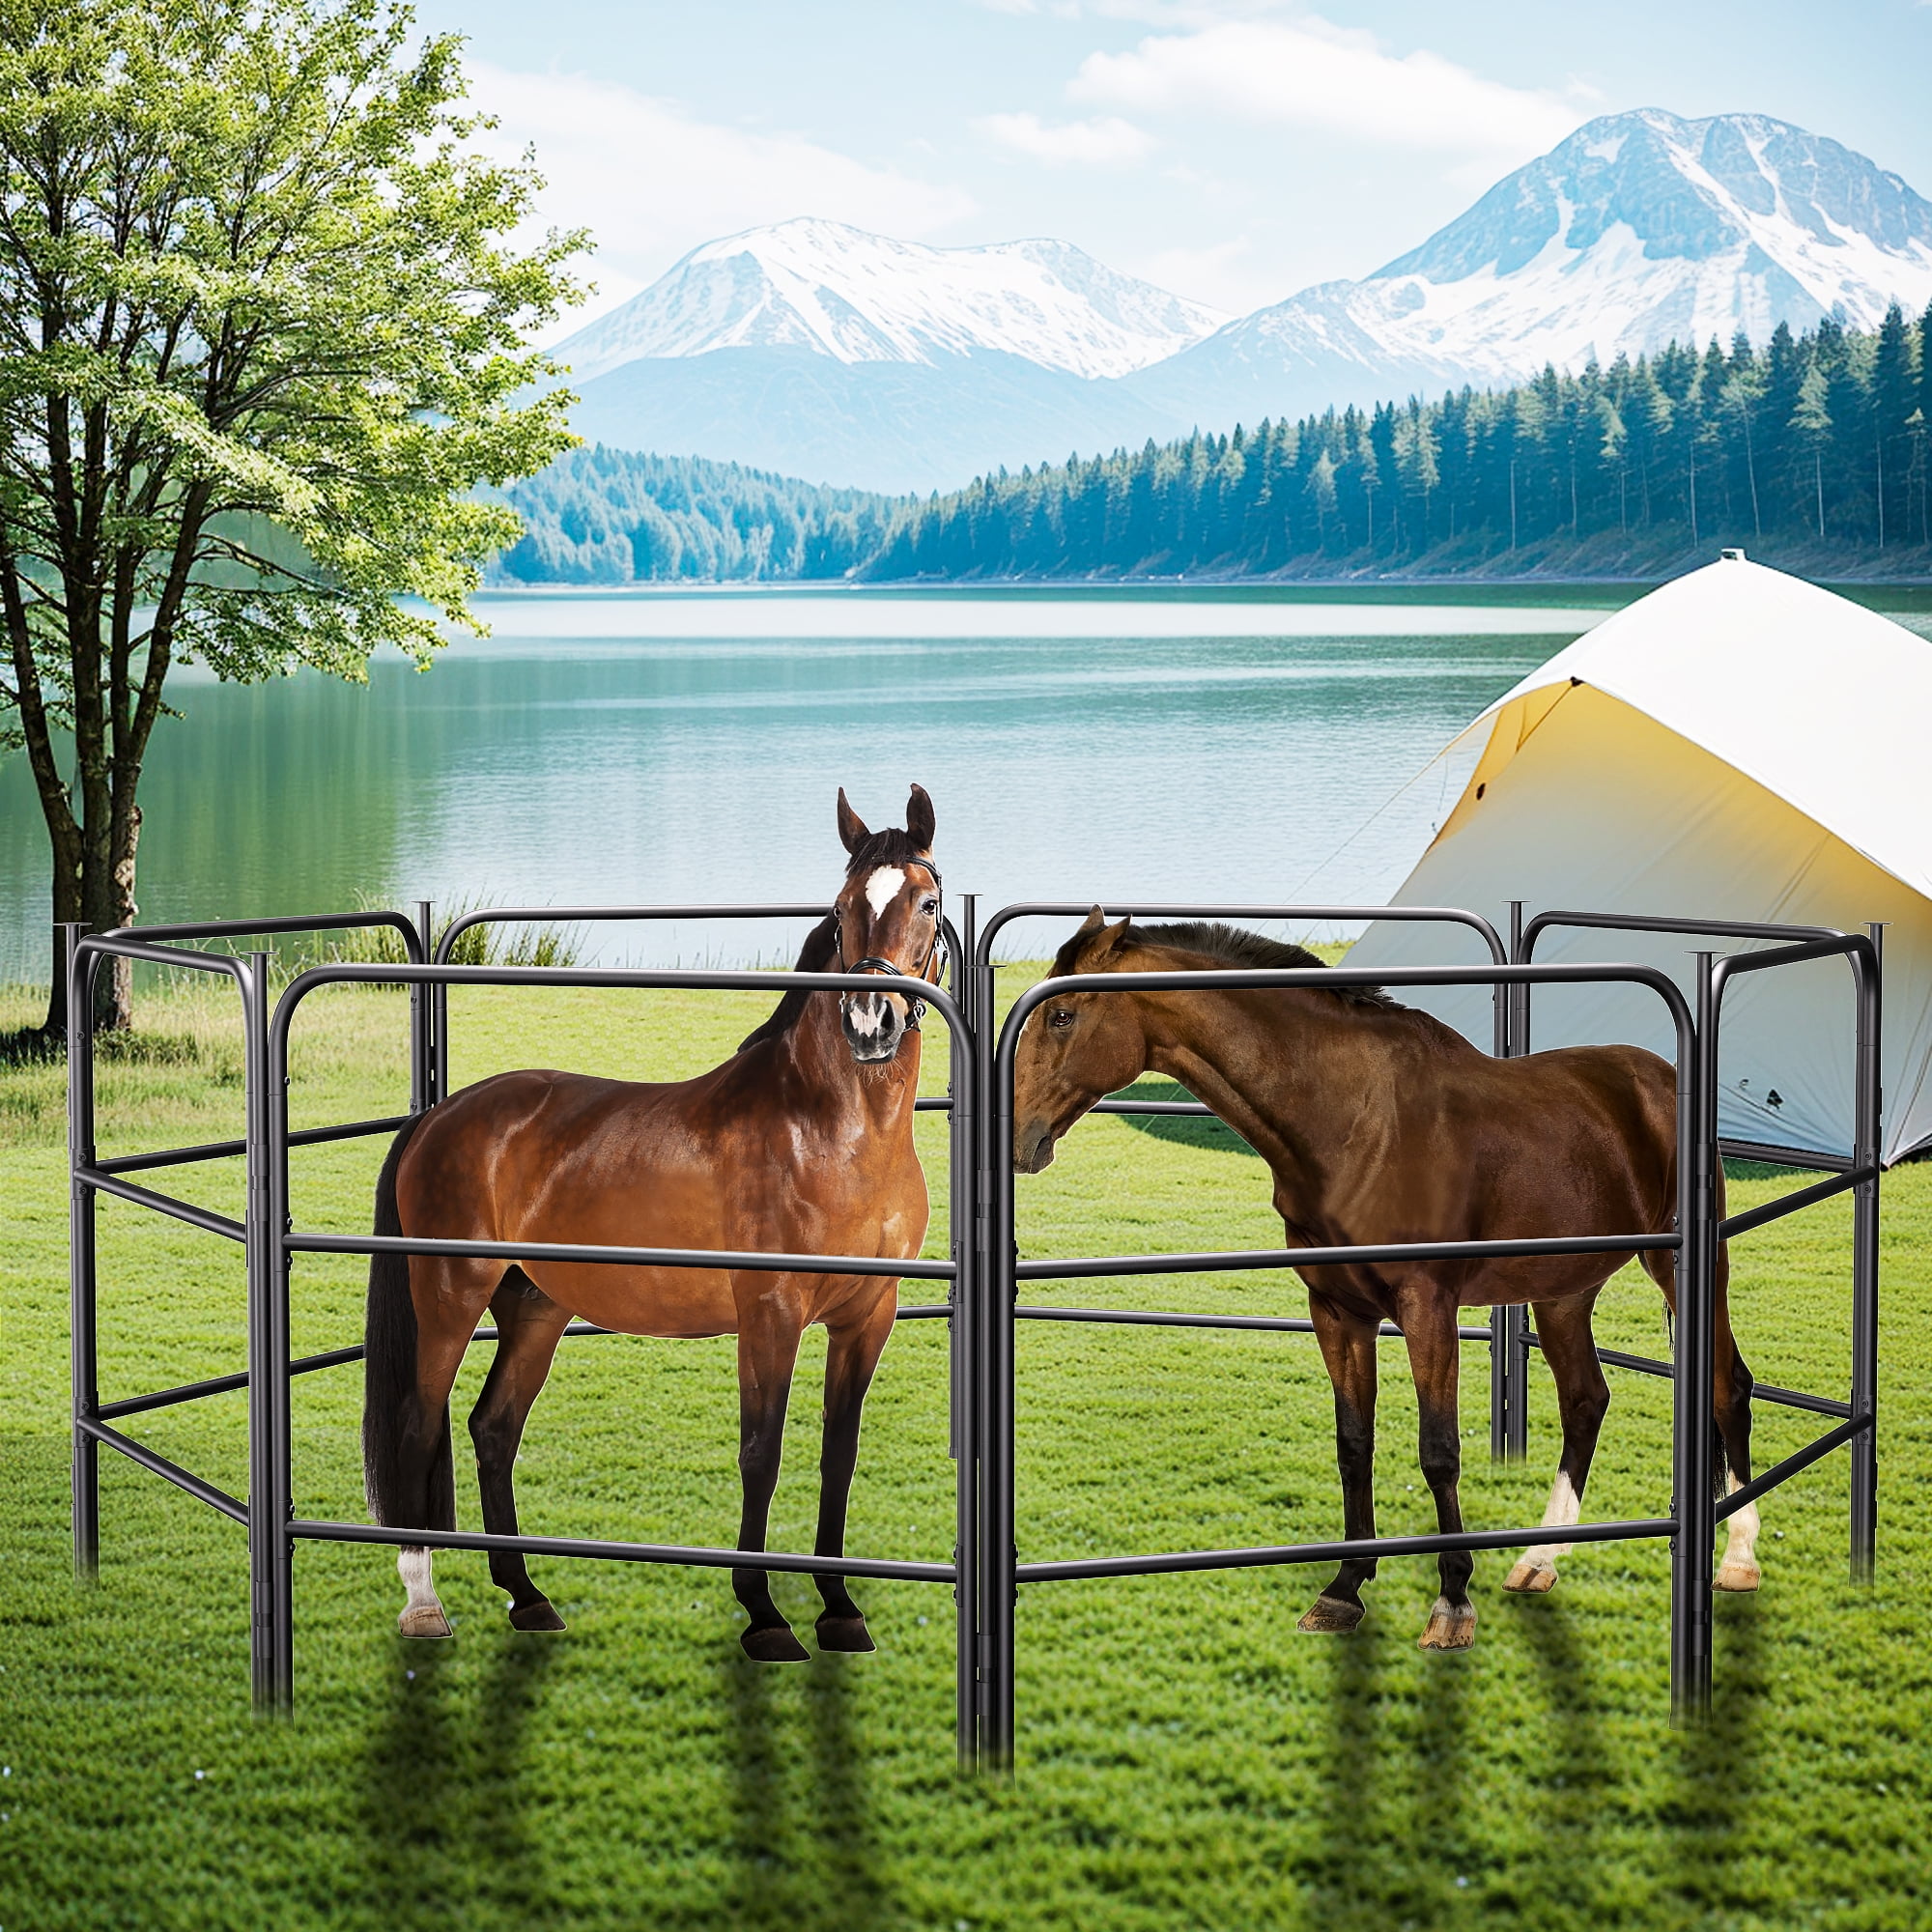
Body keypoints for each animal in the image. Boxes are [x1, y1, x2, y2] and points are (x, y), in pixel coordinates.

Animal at [362, 785, 945, 1662]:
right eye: (842, 910)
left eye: (927, 901)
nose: (869, 1022)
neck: (832, 1134)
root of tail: (439, 1115)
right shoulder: (770, 1315)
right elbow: (761, 1454)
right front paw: (764, 1615)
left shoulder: (868, 1316)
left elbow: (837, 1455)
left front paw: (841, 1608)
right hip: (449, 1300)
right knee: (417, 1427)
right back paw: (424, 1604)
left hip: (535, 1307)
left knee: (492, 1428)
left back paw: (527, 1595)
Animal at [1010, 910, 1762, 1652]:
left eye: (1063, 1015)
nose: (1018, 1137)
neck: (1354, 1123)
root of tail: (1663, 1077)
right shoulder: (1338, 1312)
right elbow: (1354, 1444)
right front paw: (1344, 1588)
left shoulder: (1428, 1306)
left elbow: (1438, 1451)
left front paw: (1453, 1600)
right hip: (1564, 1292)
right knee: (1585, 1401)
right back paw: (1539, 1561)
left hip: (1685, 1268)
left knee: (1727, 1384)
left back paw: (1737, 1560)